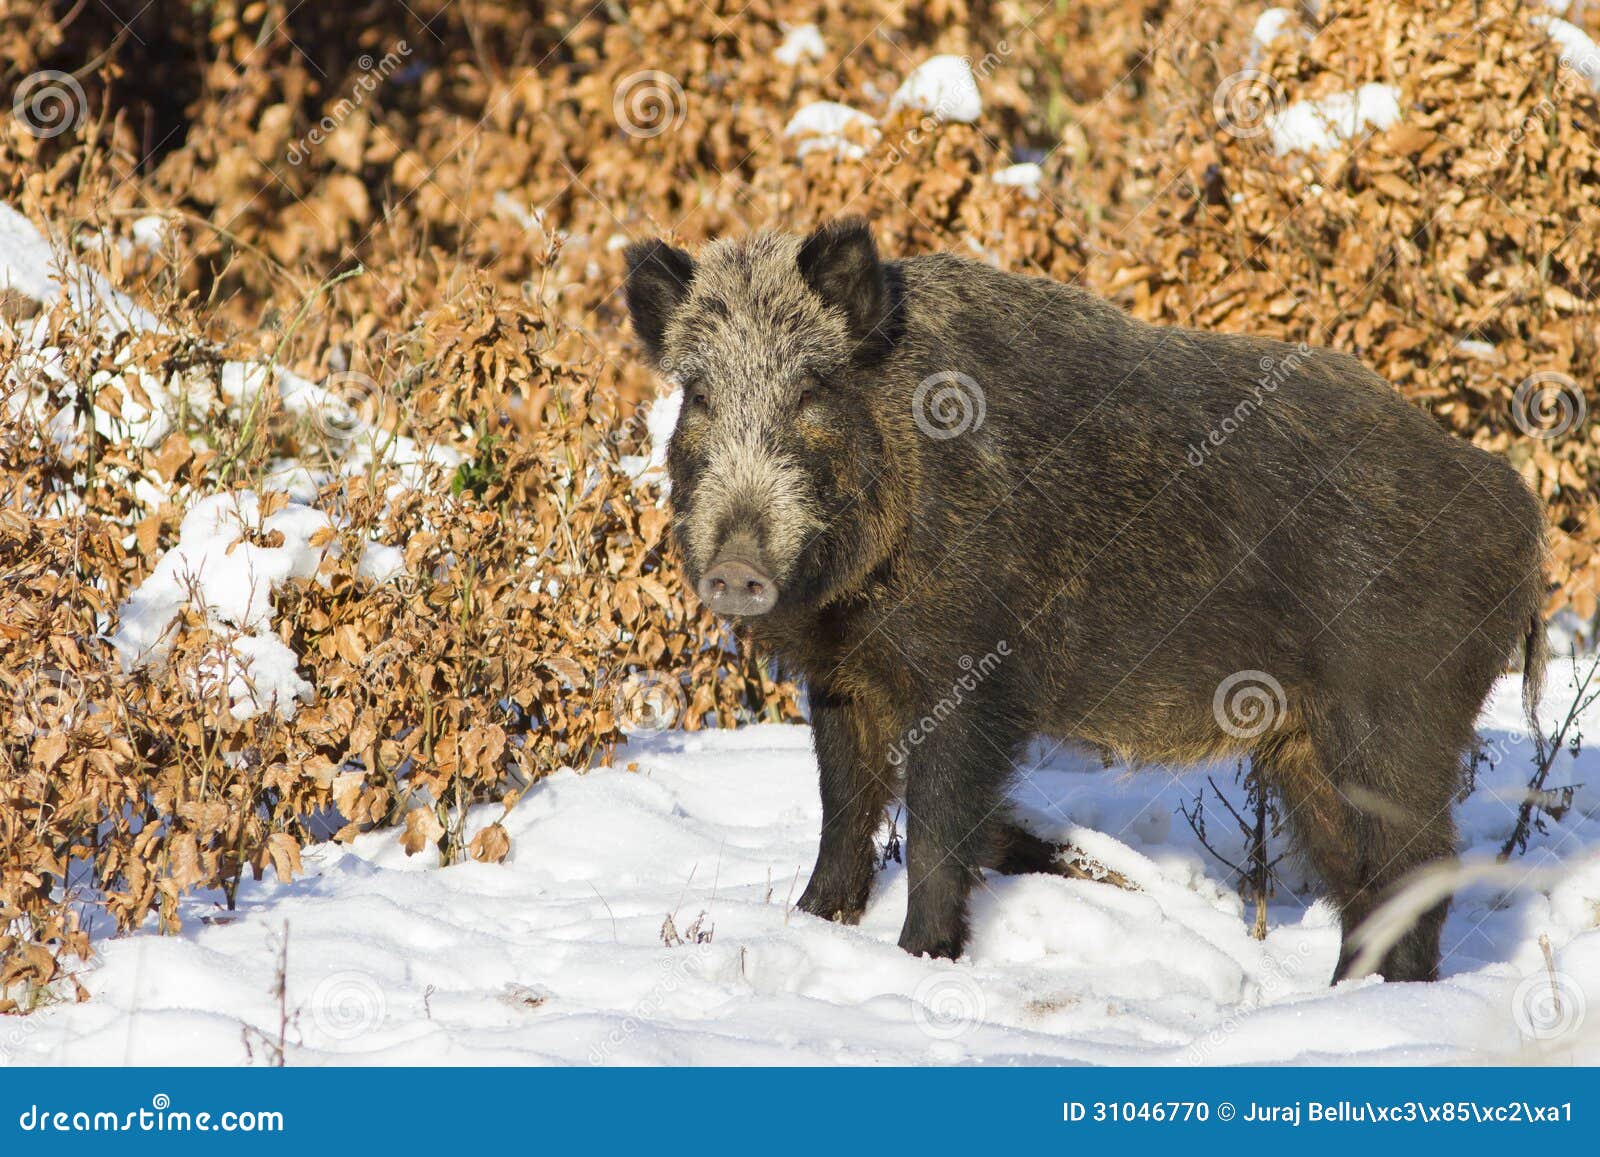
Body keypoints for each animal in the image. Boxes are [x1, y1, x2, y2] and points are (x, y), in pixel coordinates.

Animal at [623, 219, 1546, 982]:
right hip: (1304, 750)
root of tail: (1520, 509)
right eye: (699, 396)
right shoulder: (845, 682)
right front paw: (812, 922)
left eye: (813, 388)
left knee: (1419, 867)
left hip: (1401, 716)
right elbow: (841, 810)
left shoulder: (976, 674)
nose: (736, 568)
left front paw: (922, 958)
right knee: (1360, 884)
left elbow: (937, 828)